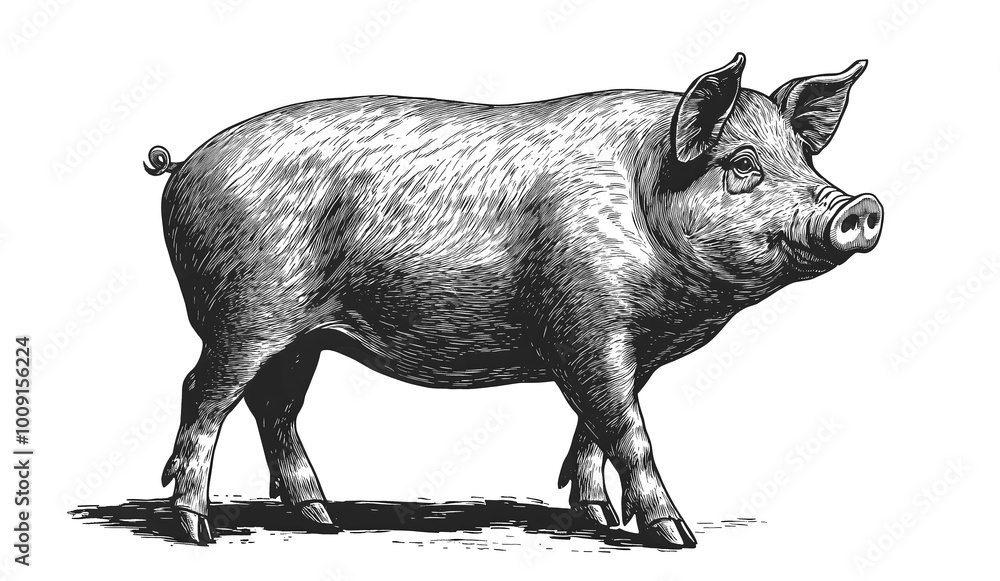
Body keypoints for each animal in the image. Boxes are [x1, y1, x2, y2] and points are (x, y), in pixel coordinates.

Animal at [146, 53, 881, 546]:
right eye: (742, 164)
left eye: (805, 159)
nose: (860, 205)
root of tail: (183, 166)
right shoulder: (588, 326)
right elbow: (630, 433)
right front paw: (677, 536)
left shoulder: (619, 348)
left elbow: (594, 430)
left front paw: (597, 517)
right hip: (247, 315)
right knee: (202, 395)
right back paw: (199, 531)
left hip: (302, 336)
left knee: (274, 409)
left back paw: (320, 519)